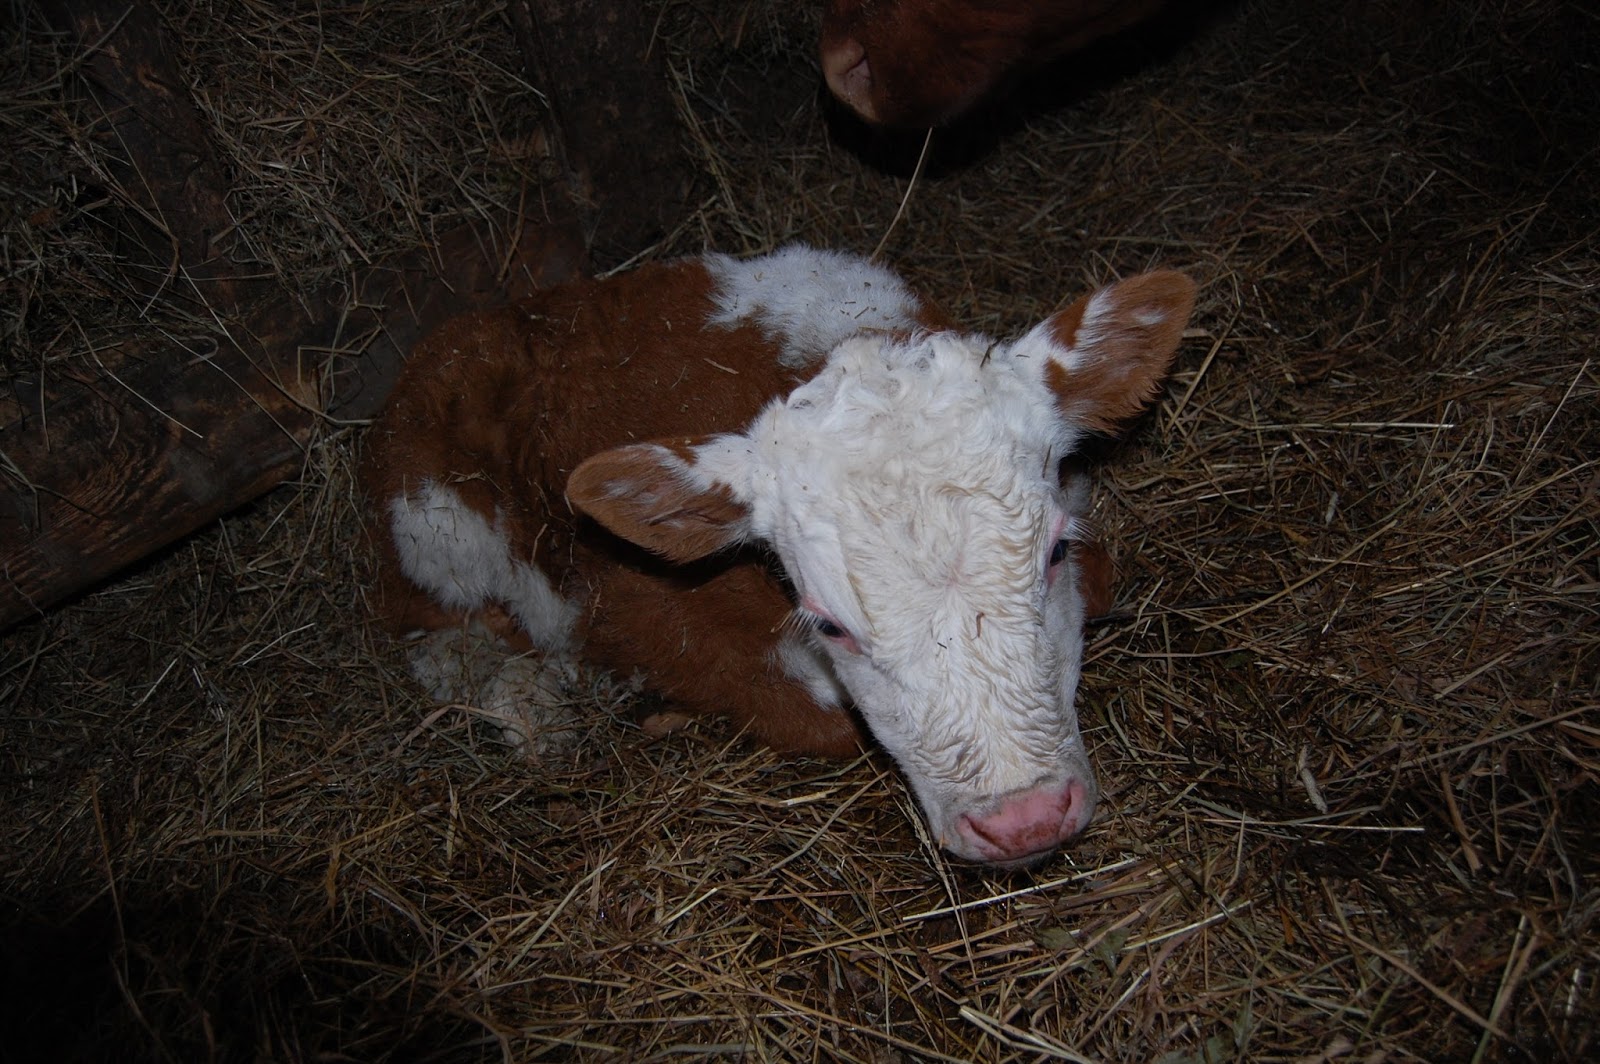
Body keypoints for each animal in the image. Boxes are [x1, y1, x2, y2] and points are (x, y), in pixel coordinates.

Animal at [361, 245, 1194, 867]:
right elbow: (826, 723)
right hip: (435, 528)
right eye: (827, 624)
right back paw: (538, 705)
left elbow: (1105, 579)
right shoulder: (647, 614)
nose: (1024, 821)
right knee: (439, 642)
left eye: (1054, 552)